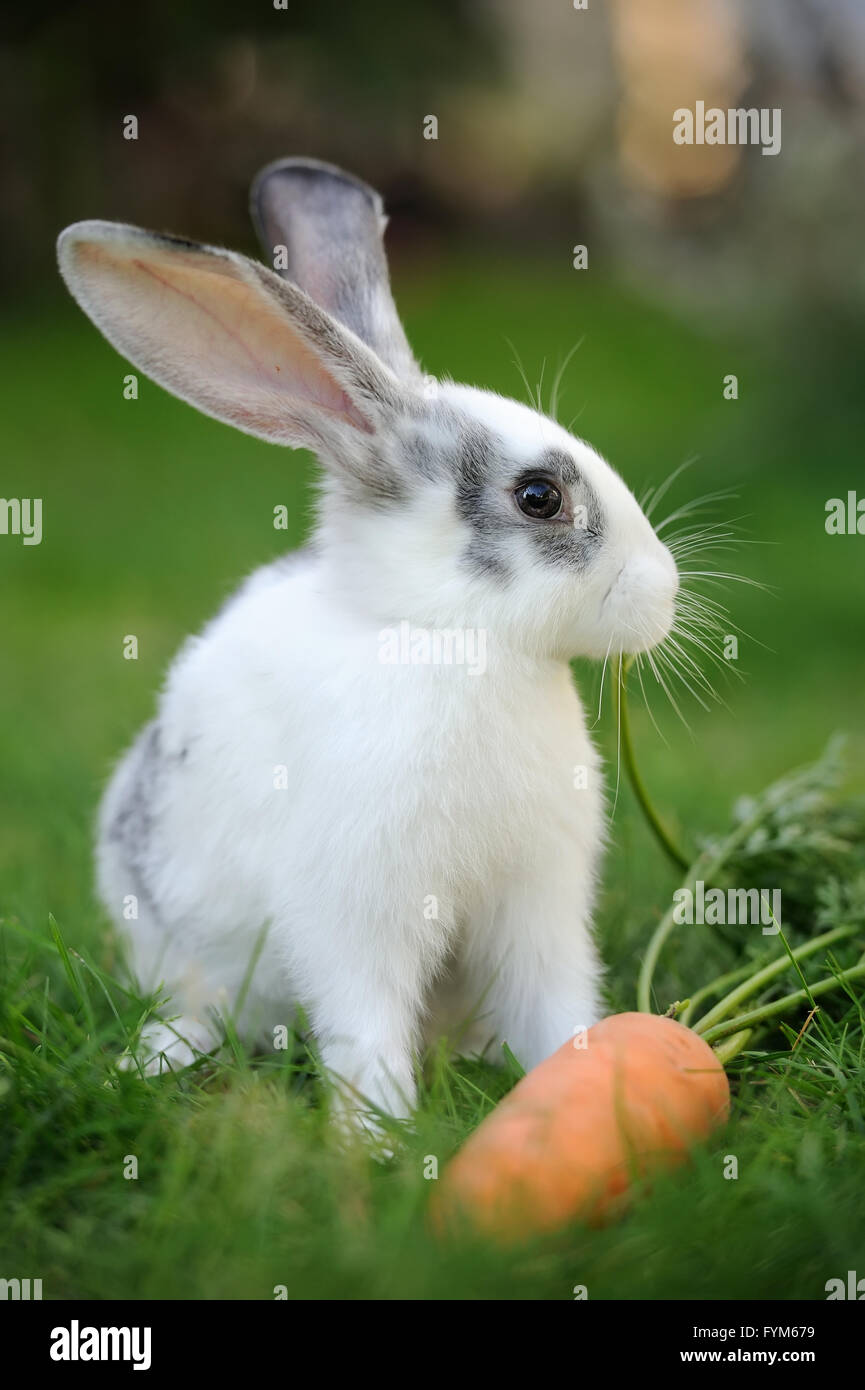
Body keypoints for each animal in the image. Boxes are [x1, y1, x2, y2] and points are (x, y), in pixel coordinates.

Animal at [56, 157, 679, 1126]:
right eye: (539, 497)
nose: (665, 591)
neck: (445, 640)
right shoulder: (354, 913)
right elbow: (365, 1023)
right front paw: (379, 1138)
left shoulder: (537, 906)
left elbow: (552, 1001)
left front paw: (581, 1071)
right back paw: (157, 1059)